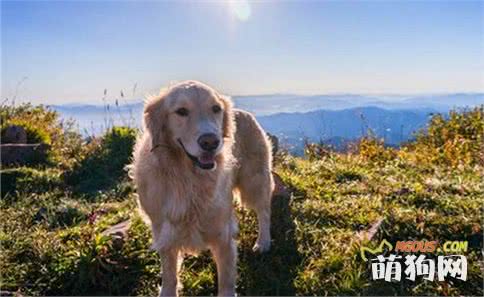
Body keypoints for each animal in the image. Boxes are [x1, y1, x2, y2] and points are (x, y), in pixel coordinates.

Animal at [130, 80, 274, 294]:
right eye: (181, 111)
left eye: (216, 108)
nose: (210, 142)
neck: (188, 178)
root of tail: (244, 112)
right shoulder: (164, 234)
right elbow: (169, 277)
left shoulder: (223, 234)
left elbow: (226, 282)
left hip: (254, 181)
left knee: (264, 211)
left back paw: (263, 242)